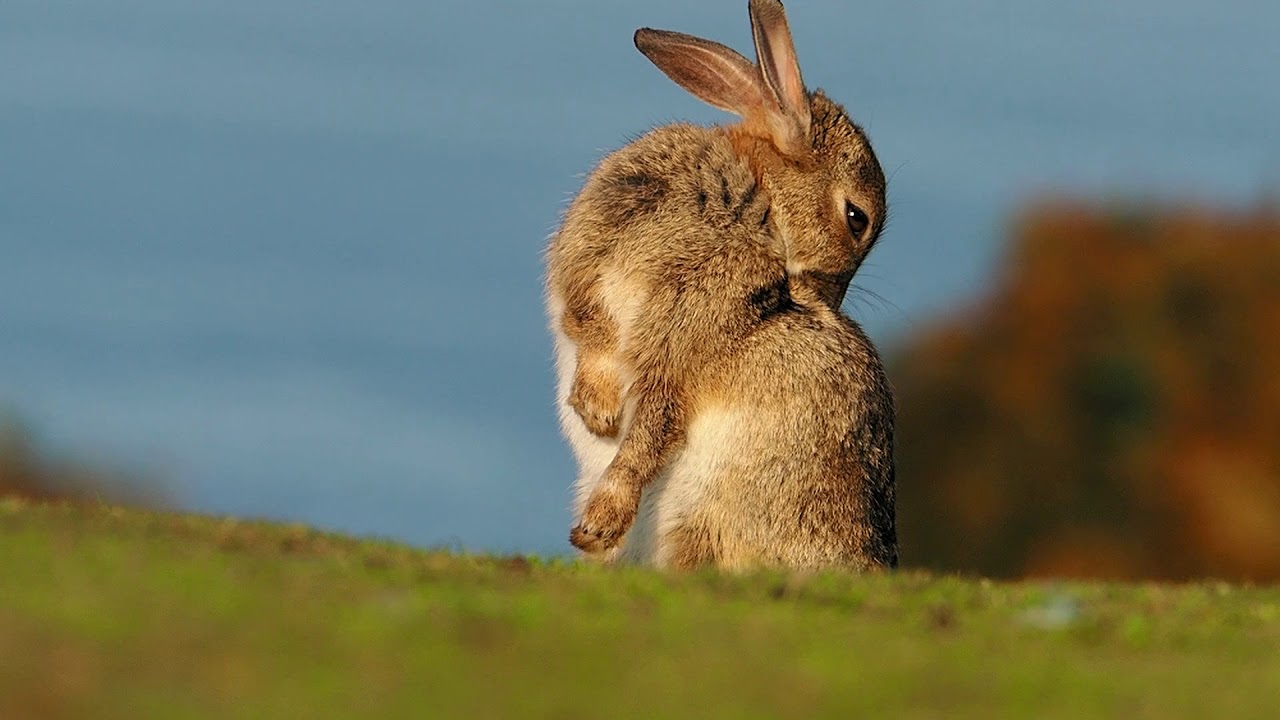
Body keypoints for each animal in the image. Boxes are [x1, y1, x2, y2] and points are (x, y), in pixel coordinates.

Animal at [545, 0, 896, 571]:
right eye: (856, 218)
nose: (825, 301)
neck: (755, 196)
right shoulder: (589, 257)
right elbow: (588, 324)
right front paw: (596, 409)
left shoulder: (691, 329)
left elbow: (653, 424)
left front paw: (597, 526)